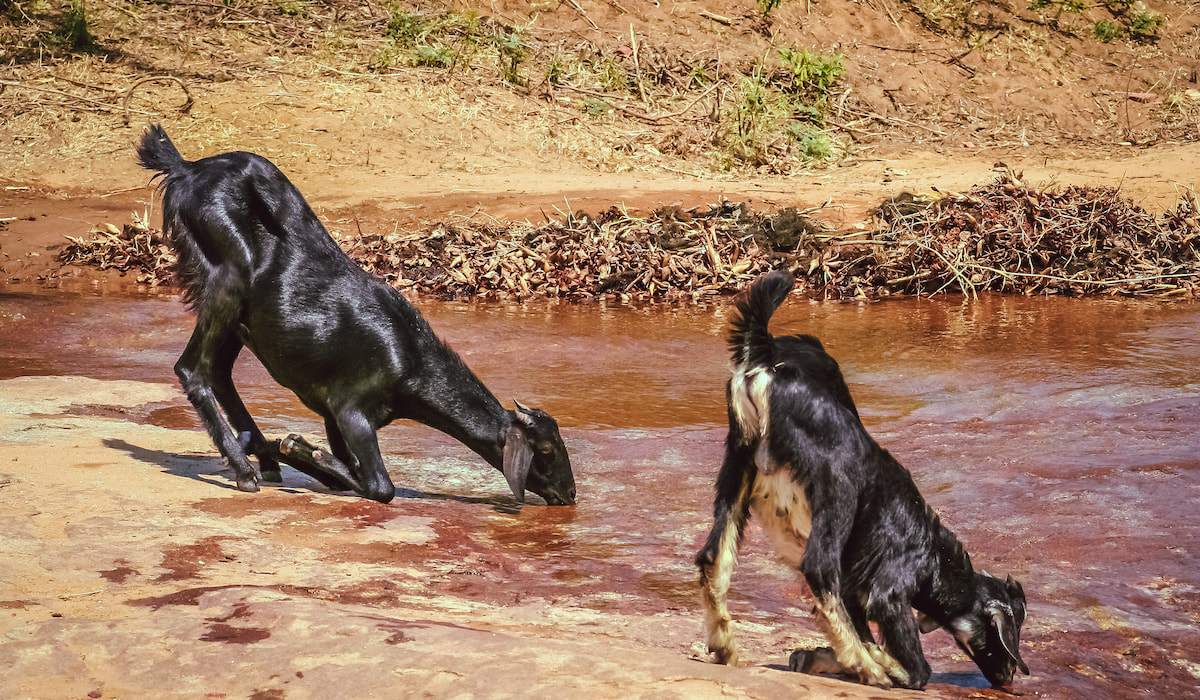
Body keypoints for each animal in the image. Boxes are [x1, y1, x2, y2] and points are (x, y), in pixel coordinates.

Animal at [134, 125, 576, 506]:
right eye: (545, 449)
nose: (570, 495)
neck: (411, 363)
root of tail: (184, 168)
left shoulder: (333, 413)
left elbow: (351, 471)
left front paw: (300, 455)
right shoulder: (351, 410)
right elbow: (381, 486)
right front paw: (300, 449)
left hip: (237, 314)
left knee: (220, 372)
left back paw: (264, 457)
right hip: (227, 273)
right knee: (193, 368)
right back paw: (246, 470)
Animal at [695, 270, 1028, 691]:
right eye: (1005, 634)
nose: (1008, 679)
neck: (933, 558)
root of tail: (766, 351)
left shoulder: (856, 594)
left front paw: (818, 657)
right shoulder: (889, 592)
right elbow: (918, 670)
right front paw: (879, 661)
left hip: (737, 464)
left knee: (713, 557)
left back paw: (725, 644)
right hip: (837, 484)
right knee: (819, 569)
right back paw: (868, 665)